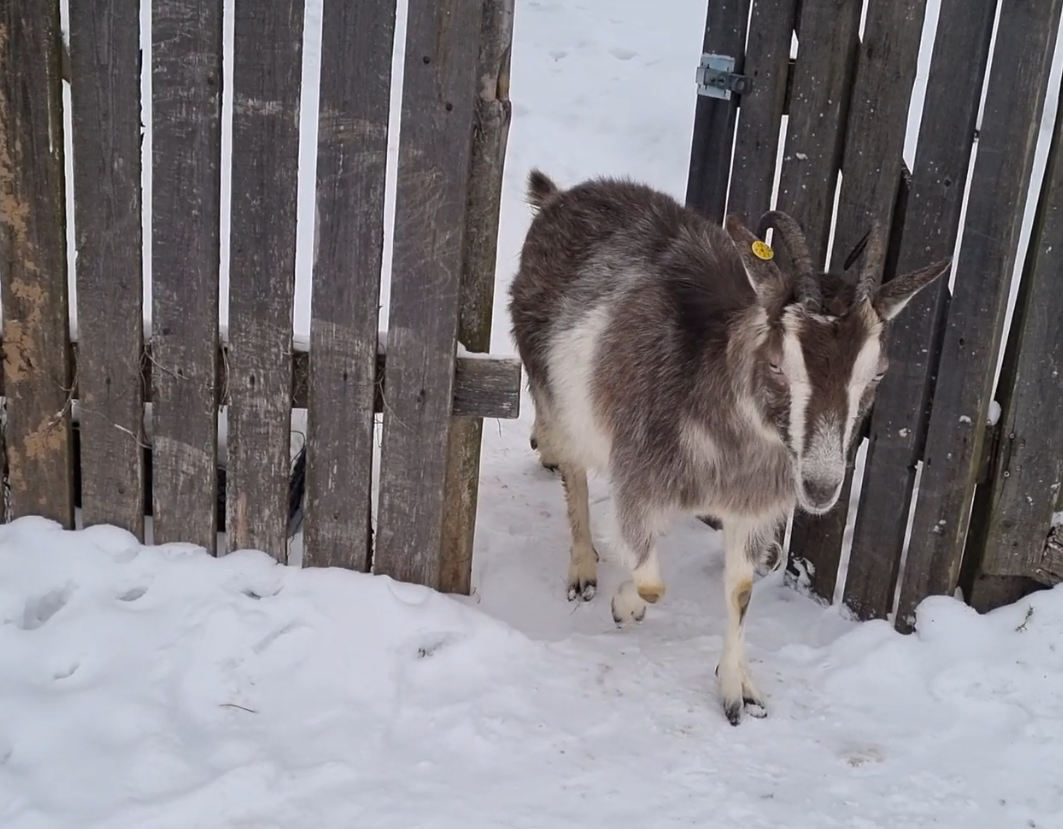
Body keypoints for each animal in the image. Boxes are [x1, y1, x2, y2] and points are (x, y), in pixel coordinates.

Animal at [503, 170, 948, 726]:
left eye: (878, 373)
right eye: (777, 363)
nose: (821, 486)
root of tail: (558, 197)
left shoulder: (751, 509)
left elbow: (739, 592)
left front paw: (739, 690)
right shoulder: (639, 481)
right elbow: (651, 581)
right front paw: (625, 607)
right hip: (557, 395)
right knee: (574, 472)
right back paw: (583, 566)